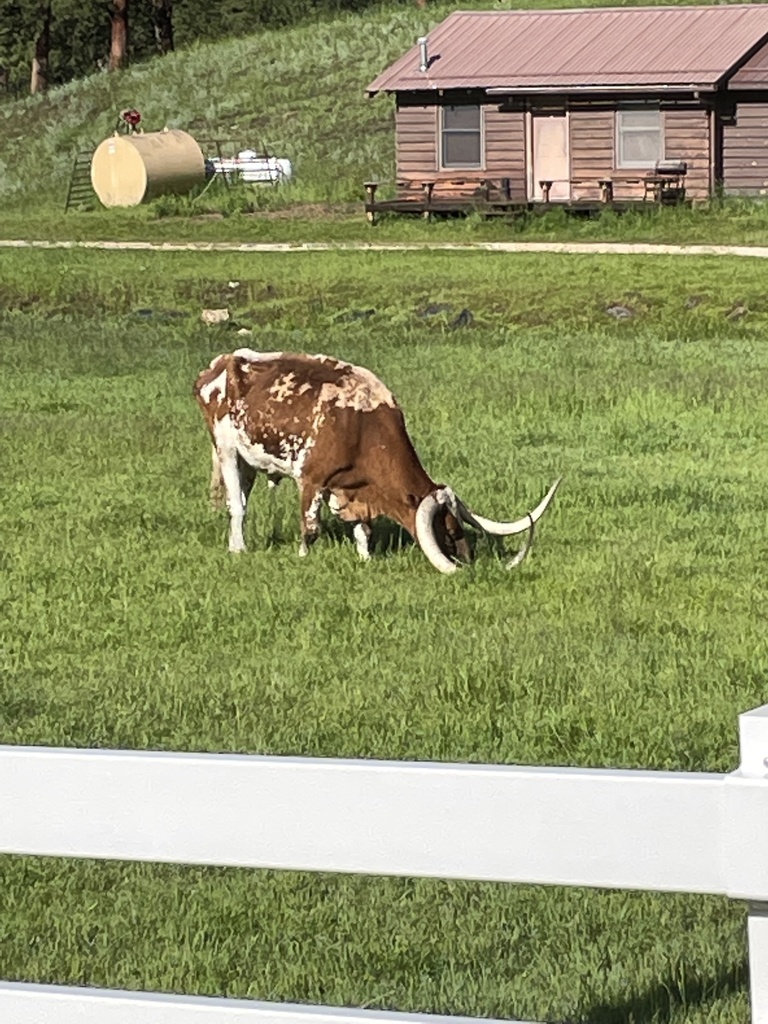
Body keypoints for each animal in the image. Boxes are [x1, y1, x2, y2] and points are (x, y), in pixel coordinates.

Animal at [194, 348, 560, 574]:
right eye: (446, 528)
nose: (468, 560)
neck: (358, 425)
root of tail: (220, 363)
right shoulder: (311, 479)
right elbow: (310, 528)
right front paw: (303, 556)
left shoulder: (348, 487)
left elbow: (363, 529)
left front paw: (365, 559)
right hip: (226, 450)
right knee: (237, 505)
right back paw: (239, 549)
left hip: (248, 461)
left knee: (240, 498)